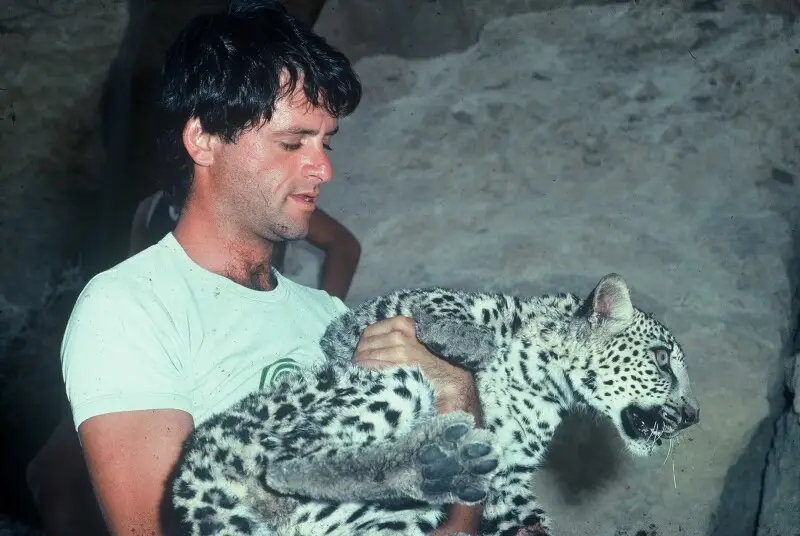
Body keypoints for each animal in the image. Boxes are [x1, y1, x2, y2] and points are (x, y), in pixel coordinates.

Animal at [164, 272, 700, 536]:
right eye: (661, 359)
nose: (693, 416)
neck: (544, 384)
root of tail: (190, 485)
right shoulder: (371, 320)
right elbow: (448, 307)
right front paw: (471, 342)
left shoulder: (509, 485)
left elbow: (523, 519)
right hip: (394, 380)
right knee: (282, 460)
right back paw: (436, 457)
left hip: (378, 521)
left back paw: (441, 463)